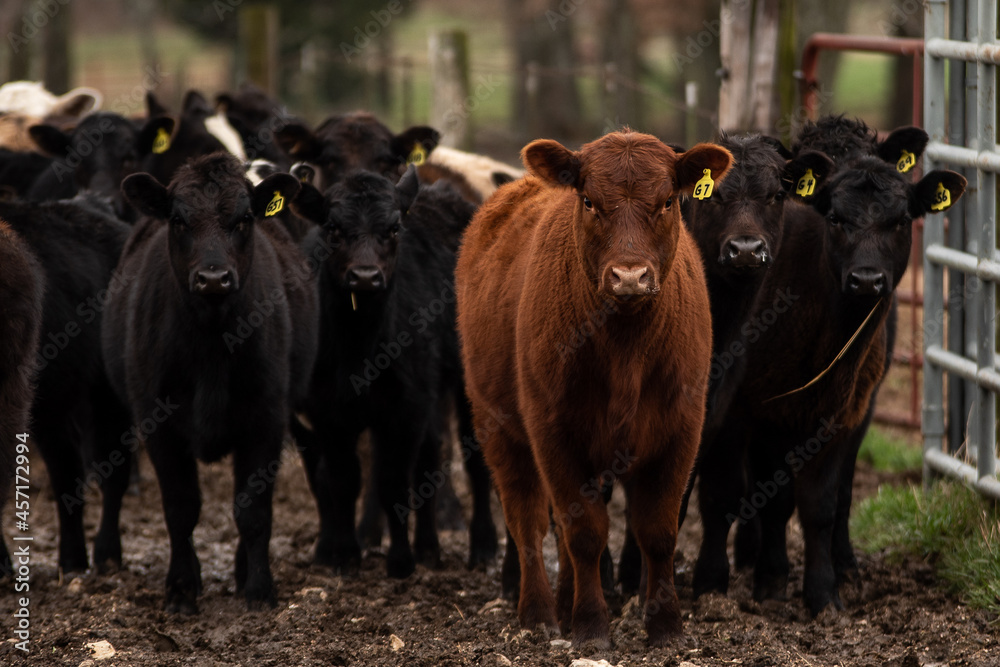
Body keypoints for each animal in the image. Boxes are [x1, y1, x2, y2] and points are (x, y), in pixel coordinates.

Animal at [0, 194, 133, 574]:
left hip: (103, 394)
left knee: (109, 469)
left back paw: (103, 555)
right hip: (55, 404)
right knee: (70, 468)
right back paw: (73, 558)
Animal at [104, 153, 318, 613]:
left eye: (244, 218)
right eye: (179, 220)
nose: (214, 278)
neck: (211, 345)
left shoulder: (267, 418)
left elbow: (253, 511)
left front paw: (259, 588)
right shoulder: (156, 422)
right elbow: (181, 508)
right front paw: (182, 588)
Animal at [289, 165, 498, 577]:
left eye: (394, 228)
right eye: (333, 228)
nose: (365, 277)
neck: (359, 346)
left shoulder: (404, 408)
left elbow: (393, 481)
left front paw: (400, 561)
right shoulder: (327, 411)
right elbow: (343, 480)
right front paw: (345, 555)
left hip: (468, 383)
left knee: (474, 460)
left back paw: (482, 547)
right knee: (431, 454)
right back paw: (428, 547)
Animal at [456, 129, 732, 646]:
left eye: (668, 201)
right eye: (588, 201)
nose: (629, 276)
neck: (624, 347)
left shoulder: (681, 430)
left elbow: (659, 531)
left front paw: (666, 625)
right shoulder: (554, 432)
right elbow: (584, 533)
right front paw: (590, 625)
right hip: (498, 425)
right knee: (528, 521)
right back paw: (540, 613)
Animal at [693, 119, 967, 617]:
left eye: (901, 220)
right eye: (835, 217)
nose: (867, 280)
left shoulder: (841, 408)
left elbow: (821, 502)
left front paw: (822, 592)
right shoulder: (743, 410)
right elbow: (735, 493)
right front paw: (731, 584)